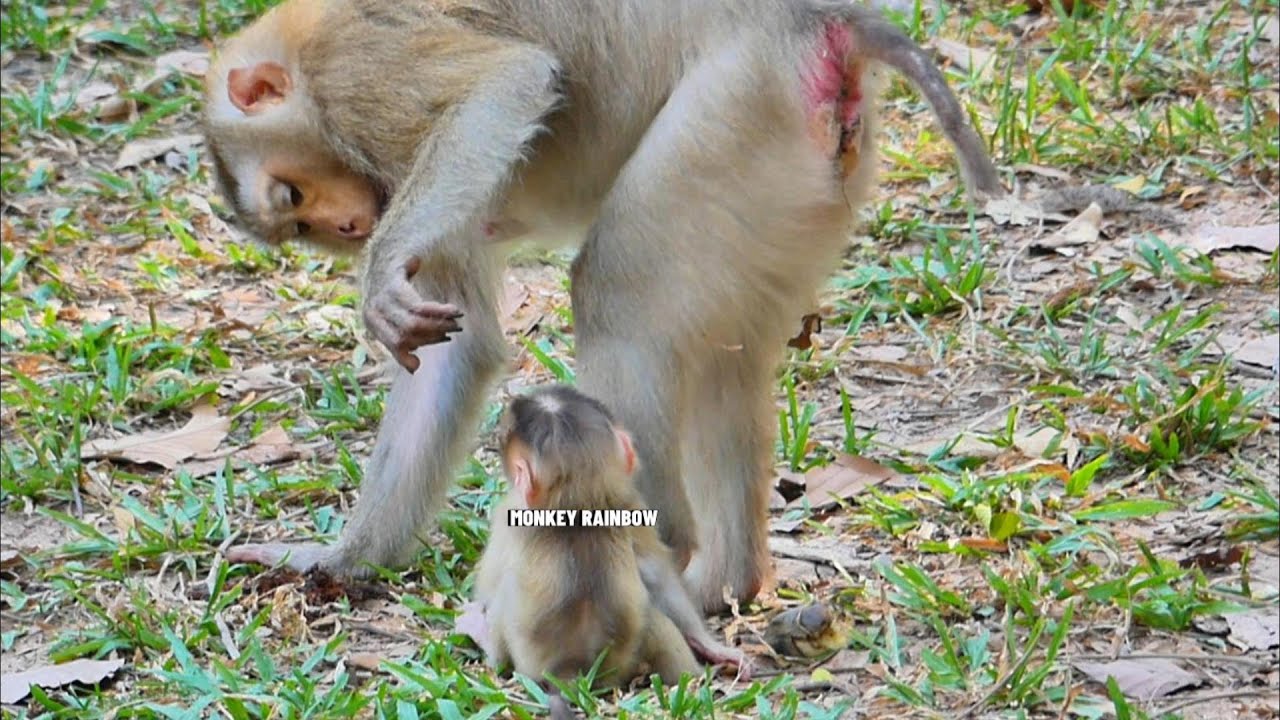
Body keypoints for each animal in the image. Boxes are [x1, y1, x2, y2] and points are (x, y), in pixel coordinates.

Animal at [208, 0, 1004, 612]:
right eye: (300, 222)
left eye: (292, 193)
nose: (352, 229)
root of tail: (822, 26)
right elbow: (457, 354)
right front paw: (340, 560)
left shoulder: (360, 74)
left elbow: (505, 84)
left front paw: (380, 274)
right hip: (794, 170)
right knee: (727, 352)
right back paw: (726, 585)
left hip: (739, 106)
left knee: (619, 294)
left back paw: (660, 555)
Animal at [462, 385, 747, 698]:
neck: (580, 504)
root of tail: (574, 674)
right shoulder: (633, 506)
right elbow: (659, 576)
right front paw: (711, 646)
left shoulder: (507, 516)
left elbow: (488, 590)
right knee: (655, 617)